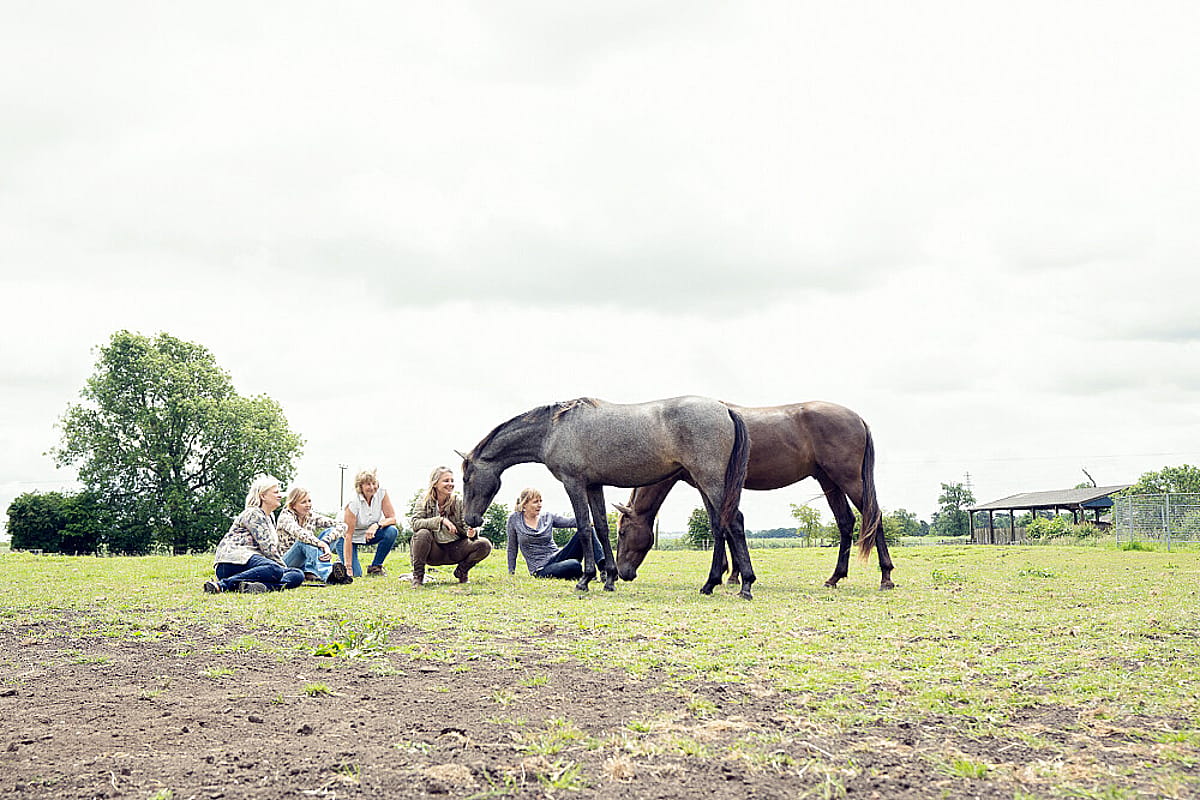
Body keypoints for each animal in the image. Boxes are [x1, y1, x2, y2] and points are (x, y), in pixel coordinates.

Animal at [457, 396, 756, 597]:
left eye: (466, 478)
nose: (471, 519)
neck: (554, 429)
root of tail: (726, 410)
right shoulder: (594, 485)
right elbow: (600, 526)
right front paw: (609, 579)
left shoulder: (574, 483)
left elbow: (584, 527)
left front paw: (585, 579)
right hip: (706, 485)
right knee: (719, 527)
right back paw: (710, 584)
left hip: (712, 482)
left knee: (735, 522)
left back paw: (746, 585)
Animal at [614, 401, 895, 590]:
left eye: (622, 533)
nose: (622, 573)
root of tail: (858, 419)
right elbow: (724, 525)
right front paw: (732, 575)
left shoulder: (711, 485)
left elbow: (722, 525)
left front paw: (725, 576)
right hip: (830, 481)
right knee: (846, 522)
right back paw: (834, 578)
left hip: (848, 479)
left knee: (874, 516)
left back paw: (886, 577)